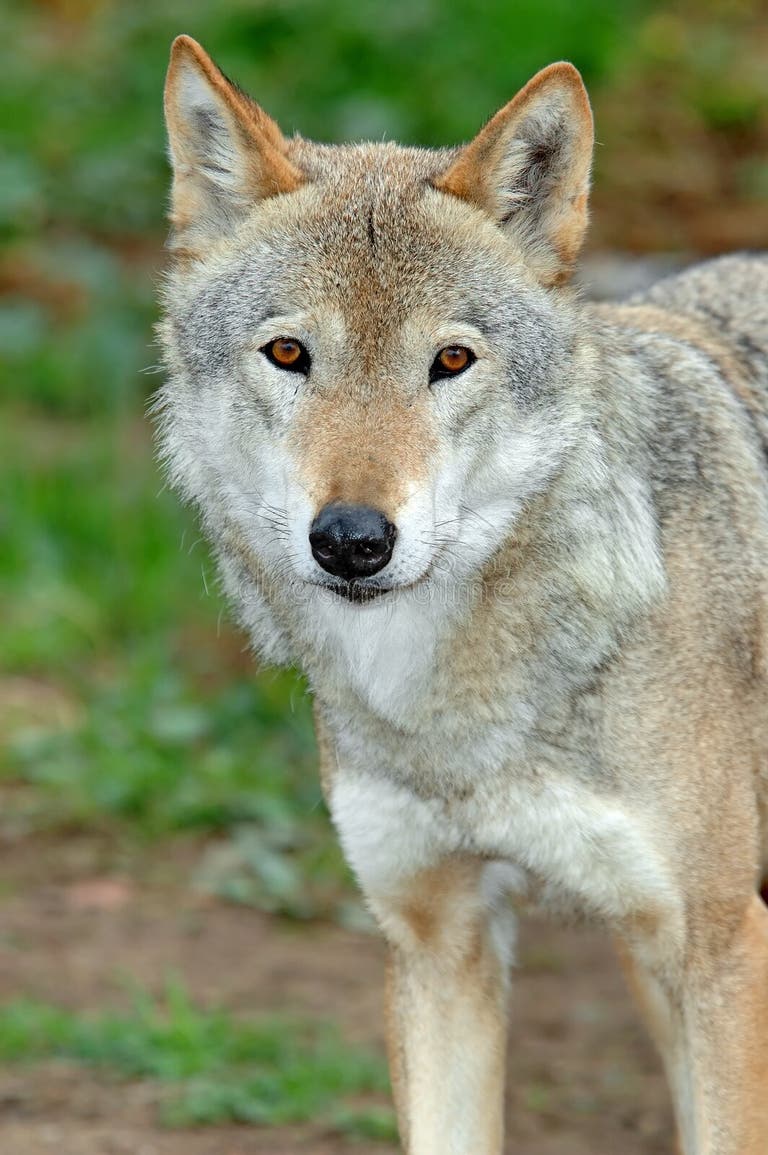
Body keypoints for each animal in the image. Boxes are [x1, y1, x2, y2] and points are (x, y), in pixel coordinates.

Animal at [156, 34, 768, 1154]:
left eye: (450, 360)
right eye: (288, 353)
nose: (354, 540)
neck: (456, 714)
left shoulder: (719, 944)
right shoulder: (437, 942)